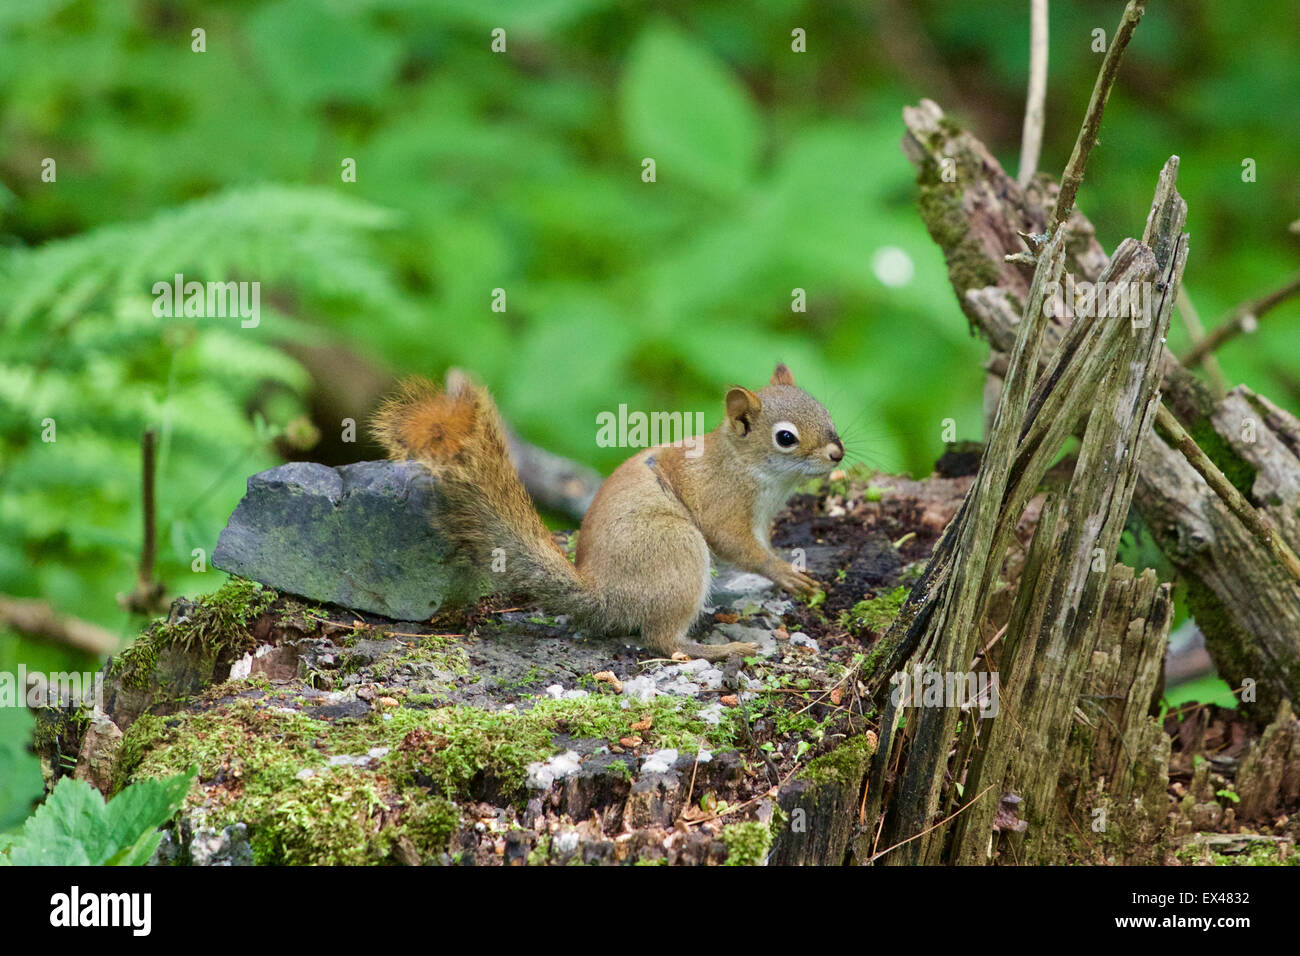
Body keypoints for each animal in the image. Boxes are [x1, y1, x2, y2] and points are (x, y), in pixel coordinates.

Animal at [371, 363, 844, 662]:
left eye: (825, 411)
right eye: (786, 437)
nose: (838, 453)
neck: (748, 466)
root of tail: (601, 593)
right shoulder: (722, 502)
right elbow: (737, 545)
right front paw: (784, 573)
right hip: (678, 548)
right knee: (663, 640)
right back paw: (722, 649)